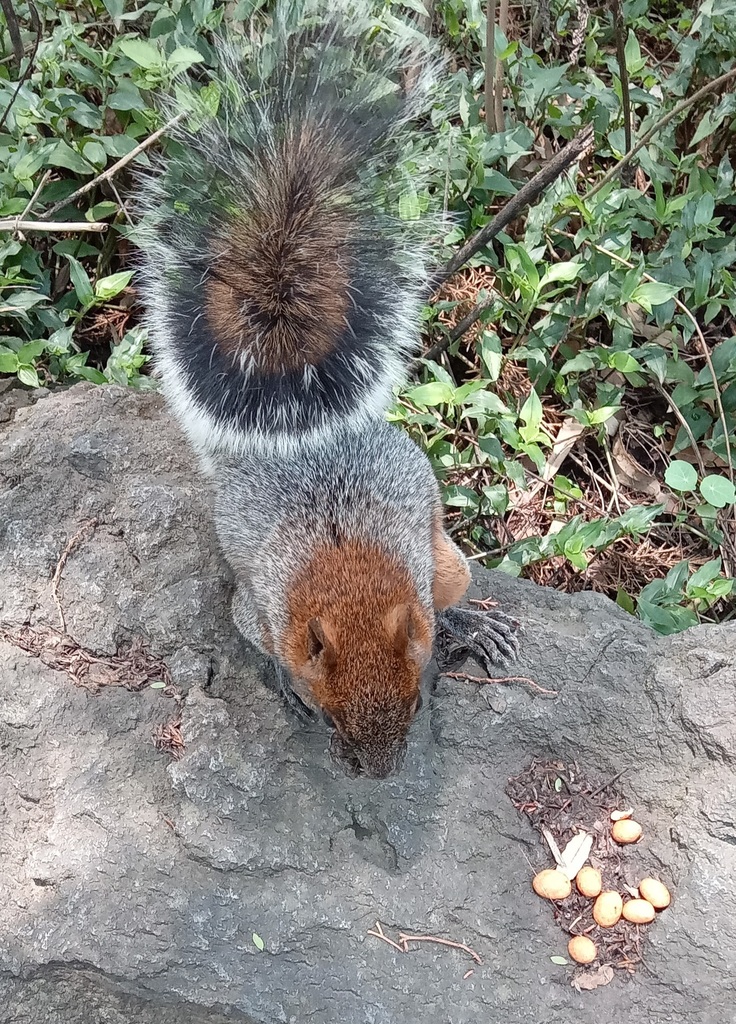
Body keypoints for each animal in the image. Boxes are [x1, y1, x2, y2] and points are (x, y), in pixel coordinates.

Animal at [134, 0, 520, 779]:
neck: (352, 578)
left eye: (417, 701)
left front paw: (453, 633)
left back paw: (471, 623)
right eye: (328, 709)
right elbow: (257, 641)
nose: (379, 774)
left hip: (448, 558)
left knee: (454, 589)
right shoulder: (261, 610)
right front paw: (284, 685)